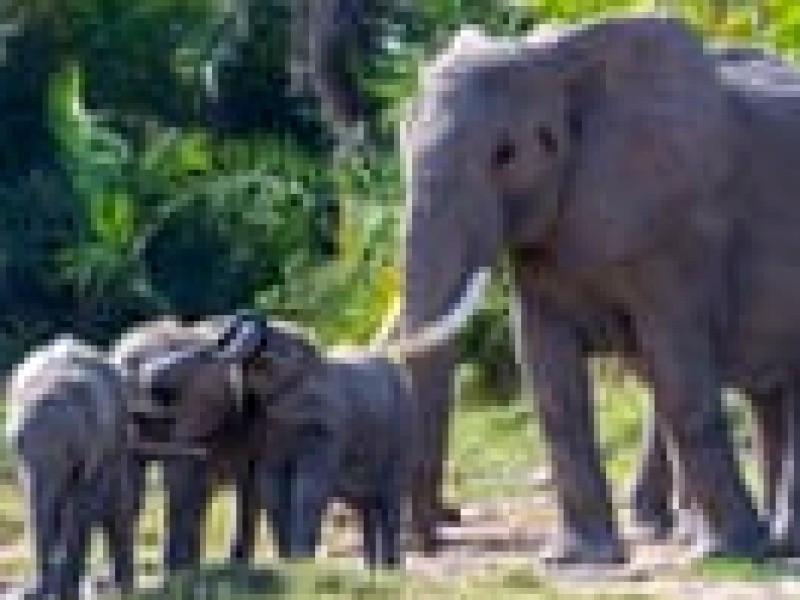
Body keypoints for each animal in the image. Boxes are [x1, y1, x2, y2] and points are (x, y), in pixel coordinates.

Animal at [5, 335, 140, 598]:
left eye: (71, 449)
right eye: (17, 445)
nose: (31, 592)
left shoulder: (97, 443)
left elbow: (79, 507)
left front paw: (65, 591)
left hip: (117, 434)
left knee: (112, 505)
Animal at [143, 310, 415, 567]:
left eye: (206, 354)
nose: (149, 375)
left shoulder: (326, 427)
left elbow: (308, 487)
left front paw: (302, 563)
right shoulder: (269, 428)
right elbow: (271, 487)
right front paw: (290, 563)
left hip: (404, 431)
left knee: (390, 500)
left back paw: (390, 572)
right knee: (367, 507)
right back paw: (374, 573)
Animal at [373, 15, 800, 564]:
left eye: (505, 155)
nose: (435, 536)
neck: (557, 67)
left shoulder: (676, 230)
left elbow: (678, 374)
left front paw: (726, 553)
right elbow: (550, 380)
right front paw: (579, 559)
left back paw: (771, 541)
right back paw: (777, 540)